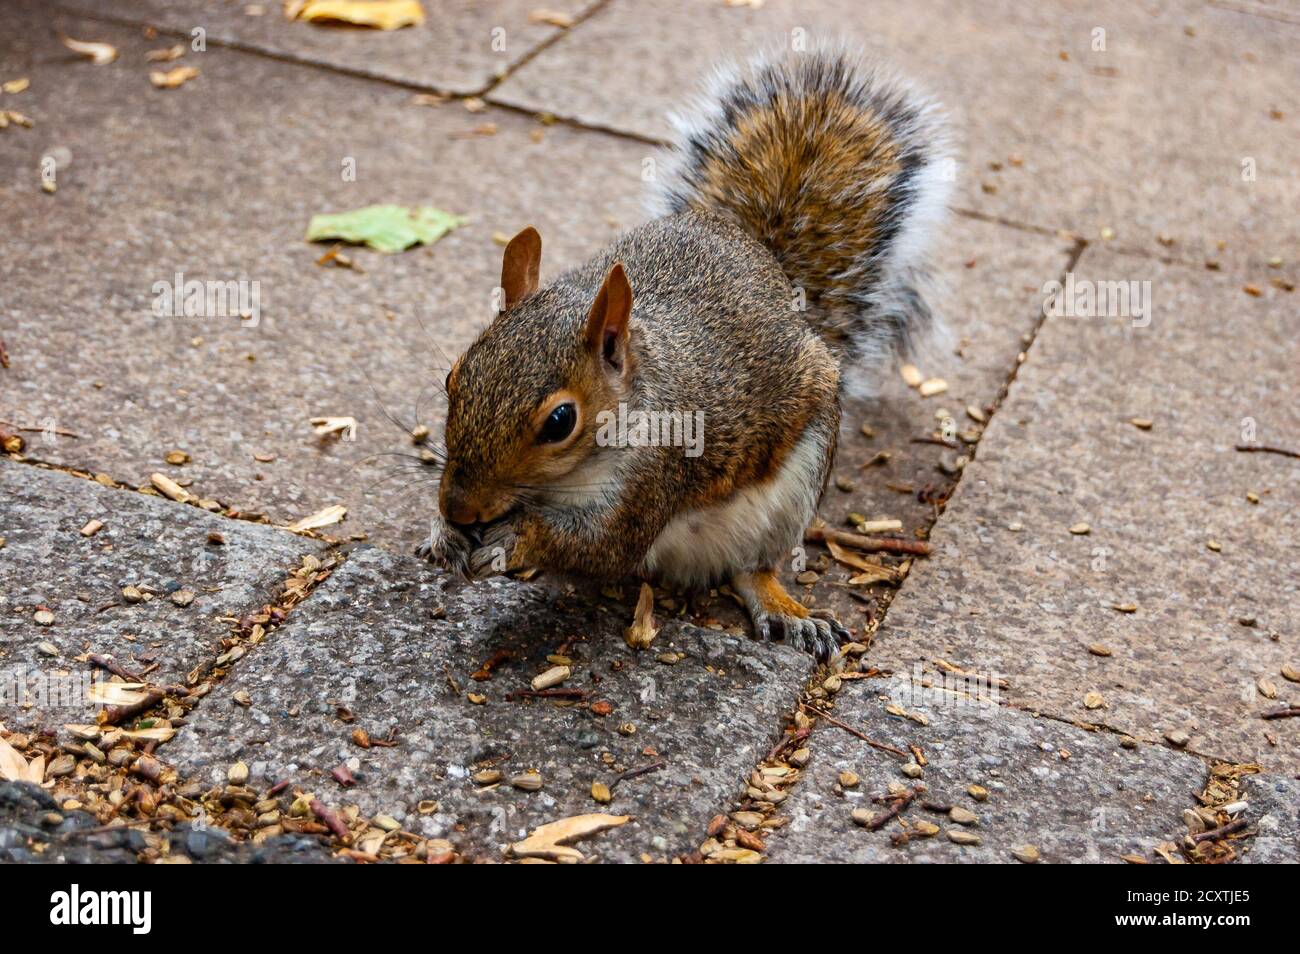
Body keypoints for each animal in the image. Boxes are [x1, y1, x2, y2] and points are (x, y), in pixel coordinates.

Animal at [418, 43, 952, 661]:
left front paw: (515, 539)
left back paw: (785, 609)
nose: (457, 507)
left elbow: (600, 547)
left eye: (559, 421)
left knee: (751, 567)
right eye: (454, 378)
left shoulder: (654, 476)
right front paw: (443, 536)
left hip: (796, 484)